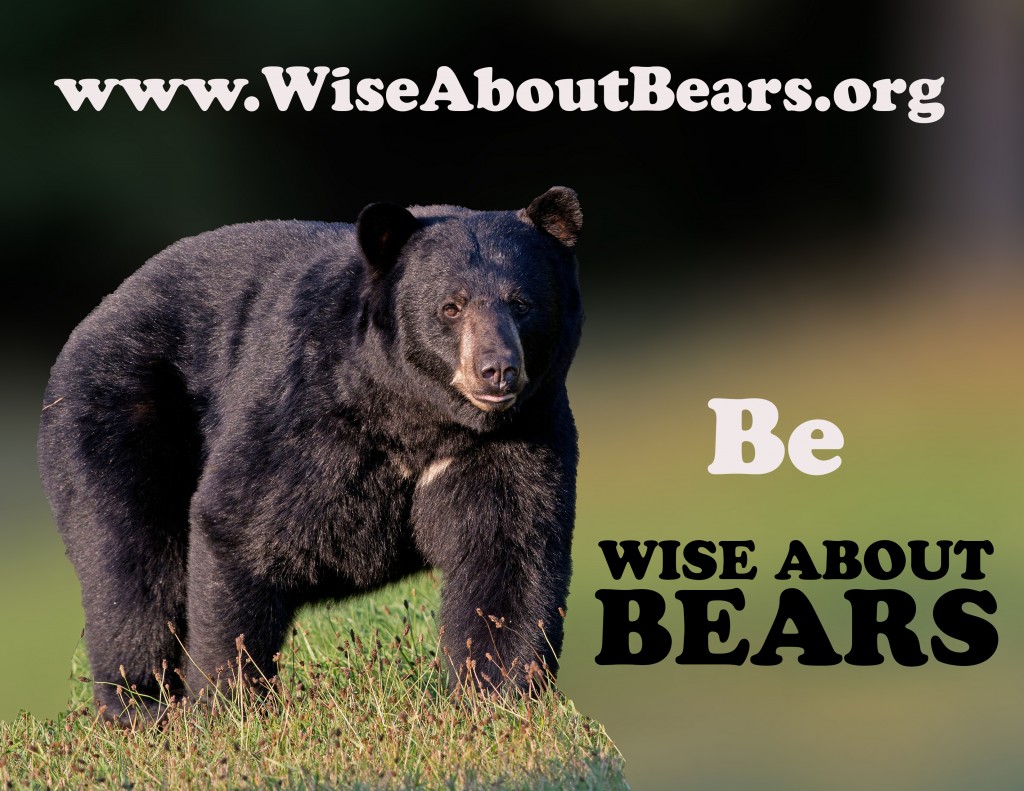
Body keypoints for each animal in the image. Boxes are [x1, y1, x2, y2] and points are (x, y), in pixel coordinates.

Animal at [37, 187, 583, 725]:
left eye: (522, 303)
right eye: (451, 307)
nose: (497, 370)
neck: (419, 419)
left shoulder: (518, 436)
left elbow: (509, 553)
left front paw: (496, 697)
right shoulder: (305, 410)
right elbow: (240, 526)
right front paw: (230, 702)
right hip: (121, 417)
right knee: (133, 570)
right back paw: (137, 705)